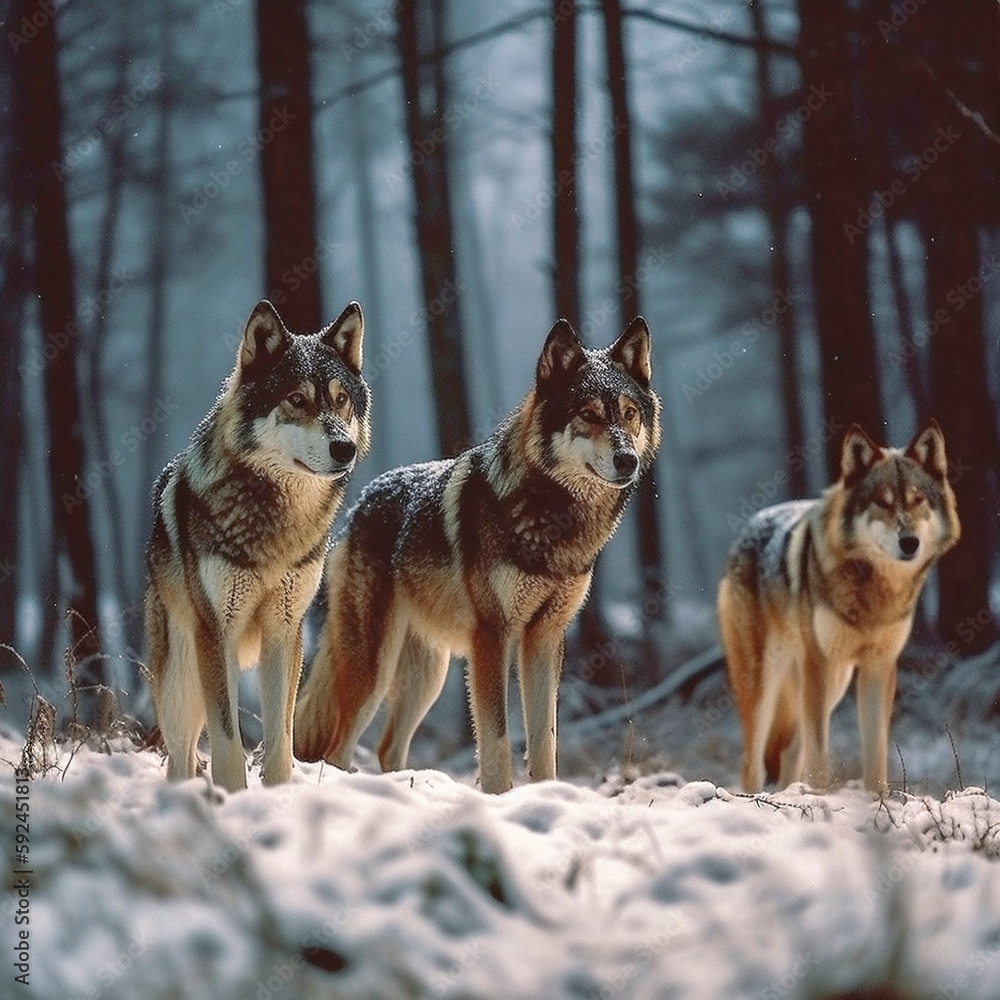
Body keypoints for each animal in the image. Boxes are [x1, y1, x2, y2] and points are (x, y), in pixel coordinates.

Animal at [145, 299, 370, 791]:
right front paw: (235, 796)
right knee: (180, 754)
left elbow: (281, 738)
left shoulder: (285, 630)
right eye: (297, 400)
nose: (344, 448)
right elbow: (228, 743)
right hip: (181, 681)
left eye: (341, 400)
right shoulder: (217, 632)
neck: (275, 523)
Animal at [294, 316, 660, 793]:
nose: (627, 460)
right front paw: (500, 796)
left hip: (426, 677)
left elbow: (545, 738)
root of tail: (359, 506)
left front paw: (546, 794)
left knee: (387, 748)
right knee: (338, 749)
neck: (553, 517)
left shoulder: (545, 639)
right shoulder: (492, 637)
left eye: (630, 414)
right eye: (589, 414)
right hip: (373, 670)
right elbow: (498, 737)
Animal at [718, 420, 960, 794]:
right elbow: (820, 754)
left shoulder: (879, 667)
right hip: (767, 683)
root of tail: (746, 529)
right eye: (882, 503)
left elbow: (875, 752)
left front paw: (876, 801)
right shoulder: (818, 663)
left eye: (918, 500)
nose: (910, 542)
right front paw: (821, 795)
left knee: (789, 750)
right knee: (753, 763)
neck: (872, 589)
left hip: (834, 681)